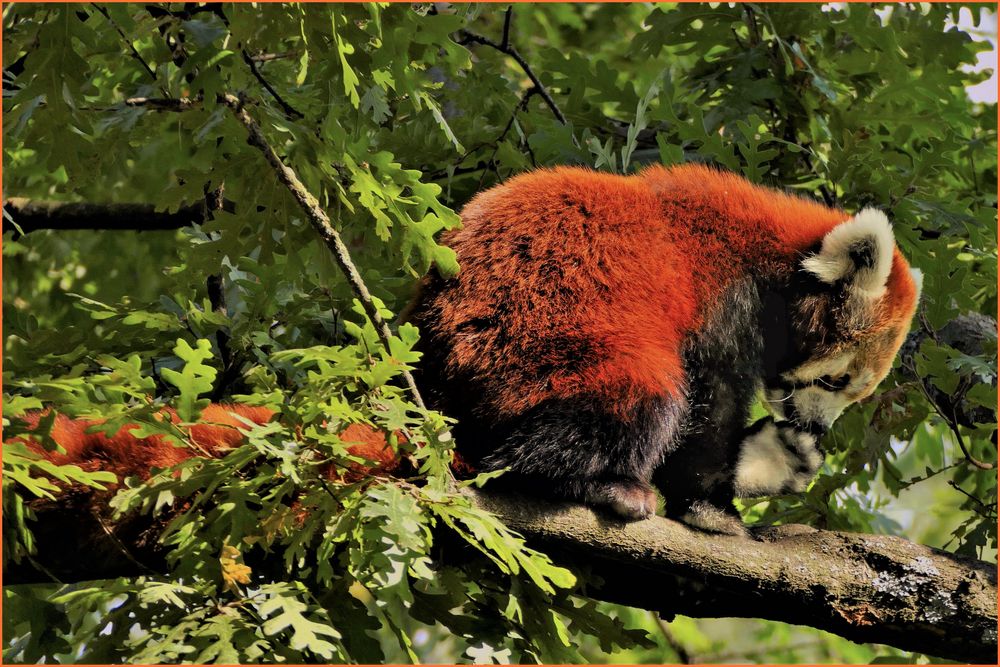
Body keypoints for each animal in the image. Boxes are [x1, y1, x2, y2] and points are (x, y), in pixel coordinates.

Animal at [408, 163, 922, 535]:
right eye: (836, 380)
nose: (814, 427)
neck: (772, 261)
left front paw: (767, 462)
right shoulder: (720, 305)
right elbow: (707, 408)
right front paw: (710, 506)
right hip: (536, 340)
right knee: (642, 398)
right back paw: (600, 485)